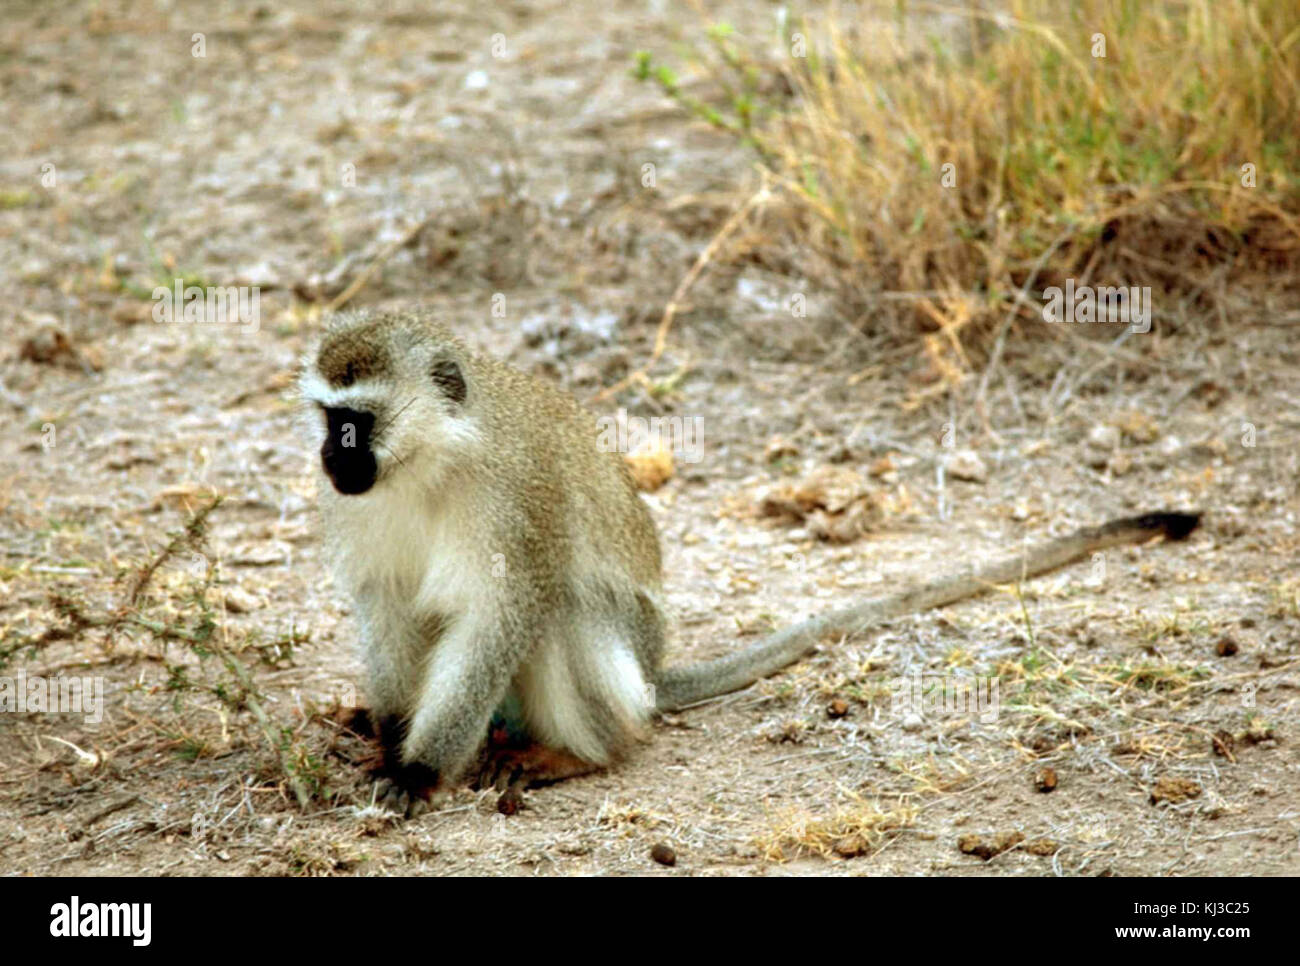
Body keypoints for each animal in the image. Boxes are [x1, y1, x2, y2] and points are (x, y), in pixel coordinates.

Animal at [299, 307, 1200, 815]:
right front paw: (389, 743)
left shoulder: (518, 495)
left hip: (622, 670)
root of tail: (655, 674)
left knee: (564, 609)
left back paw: (581, 754)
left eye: (357, 422)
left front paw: (420, 774)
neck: (431, 461)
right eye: (329, 419)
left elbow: (502, 616)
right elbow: (387, 605)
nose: (331, 459)